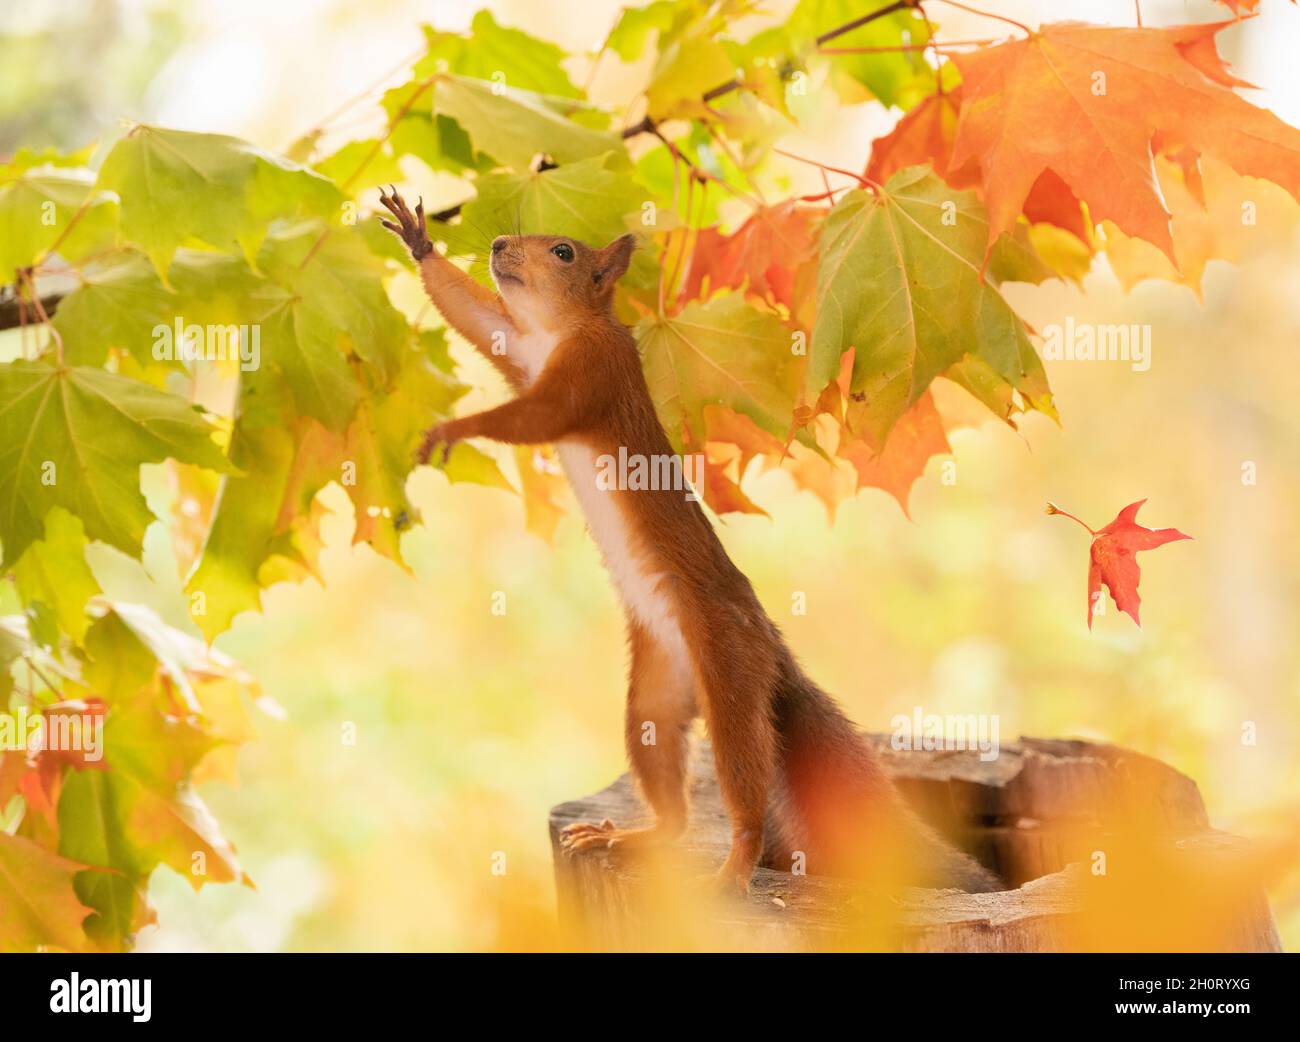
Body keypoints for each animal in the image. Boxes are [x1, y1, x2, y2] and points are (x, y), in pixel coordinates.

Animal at [379, 188, 1001, 896]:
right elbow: (475, 316)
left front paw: (454, 427)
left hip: (729, 670)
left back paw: (733, 866)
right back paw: (634, 834)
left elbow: (535, 417)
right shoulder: (516, 345)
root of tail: (771, 647)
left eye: (563, 251)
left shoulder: (592, 374)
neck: (557, 330)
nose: (498, 246)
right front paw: (419, 241)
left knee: (744, 778)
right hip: (653, 694)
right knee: (666, 784)